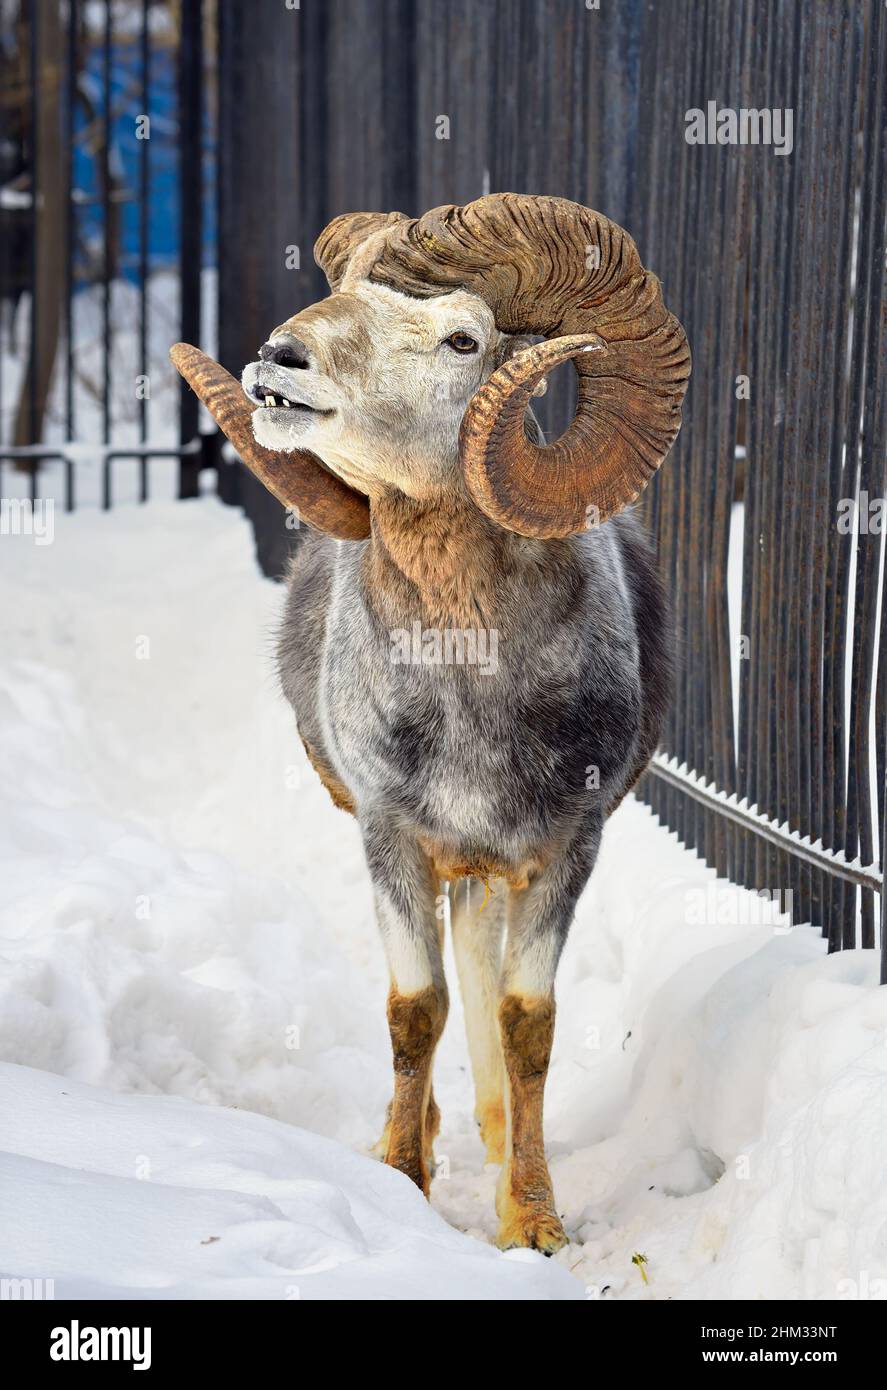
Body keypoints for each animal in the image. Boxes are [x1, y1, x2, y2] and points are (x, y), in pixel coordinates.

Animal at [171, 193, 690, 1254]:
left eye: (462, 339)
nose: (279, 359)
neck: (468, 691)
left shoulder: (563, 850)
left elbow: (524, 1021)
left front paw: (530, 1220)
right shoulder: (391, 837)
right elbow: (416, 1009)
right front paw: (401, 1176)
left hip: (490, 875)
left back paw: (491, 1137)